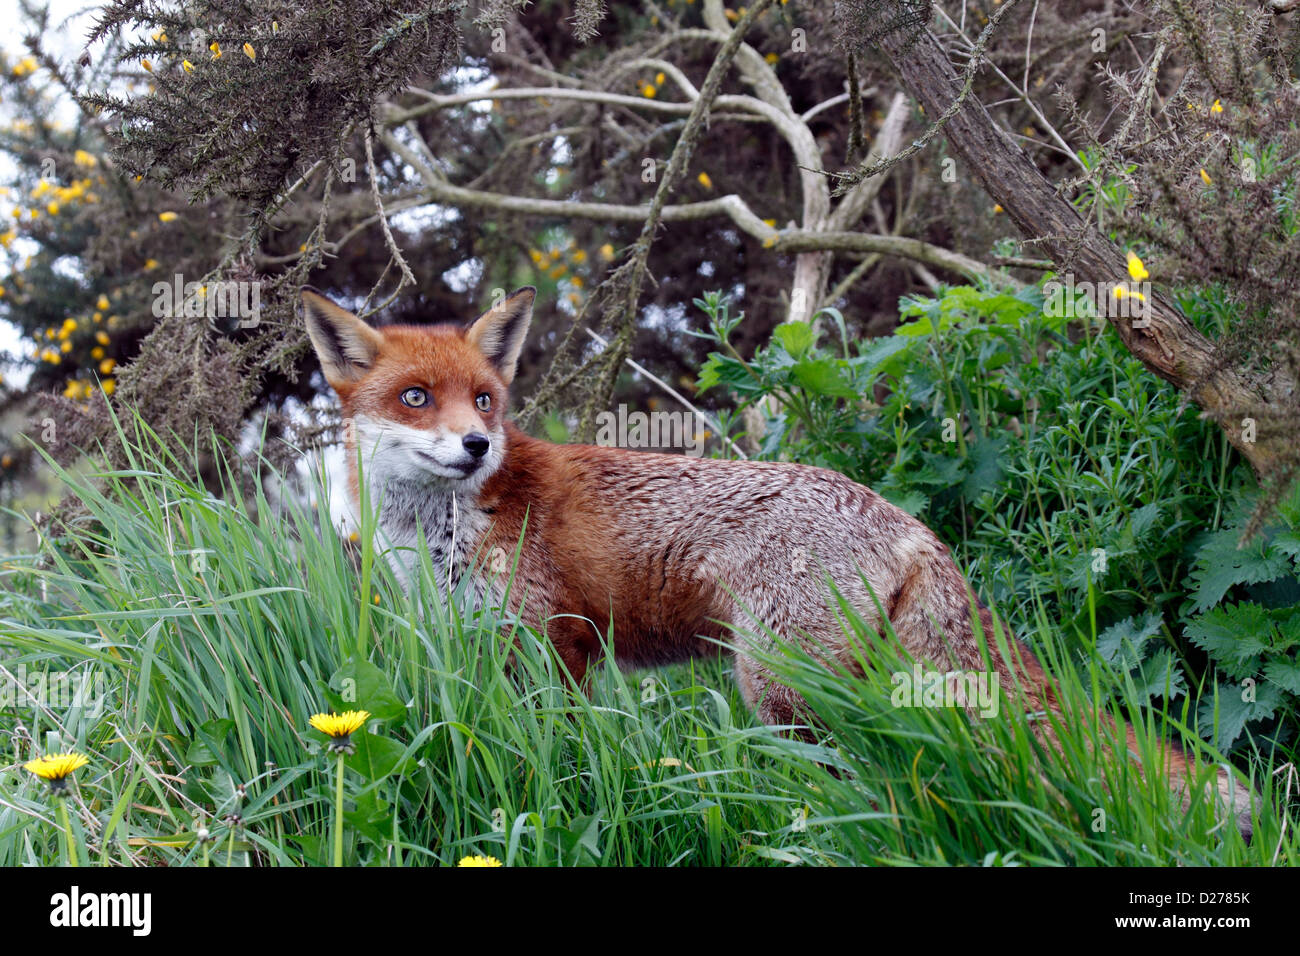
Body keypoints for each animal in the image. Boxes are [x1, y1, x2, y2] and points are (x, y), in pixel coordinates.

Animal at [300, 283, 1255, 838]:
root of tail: (907, 519)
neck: (442, 531)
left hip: (780, 688)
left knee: (867, 773)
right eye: (415, 397)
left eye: (485, 400)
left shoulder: (556, 642)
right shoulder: (476, 648)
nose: (473, 445)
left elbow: (558, 760)